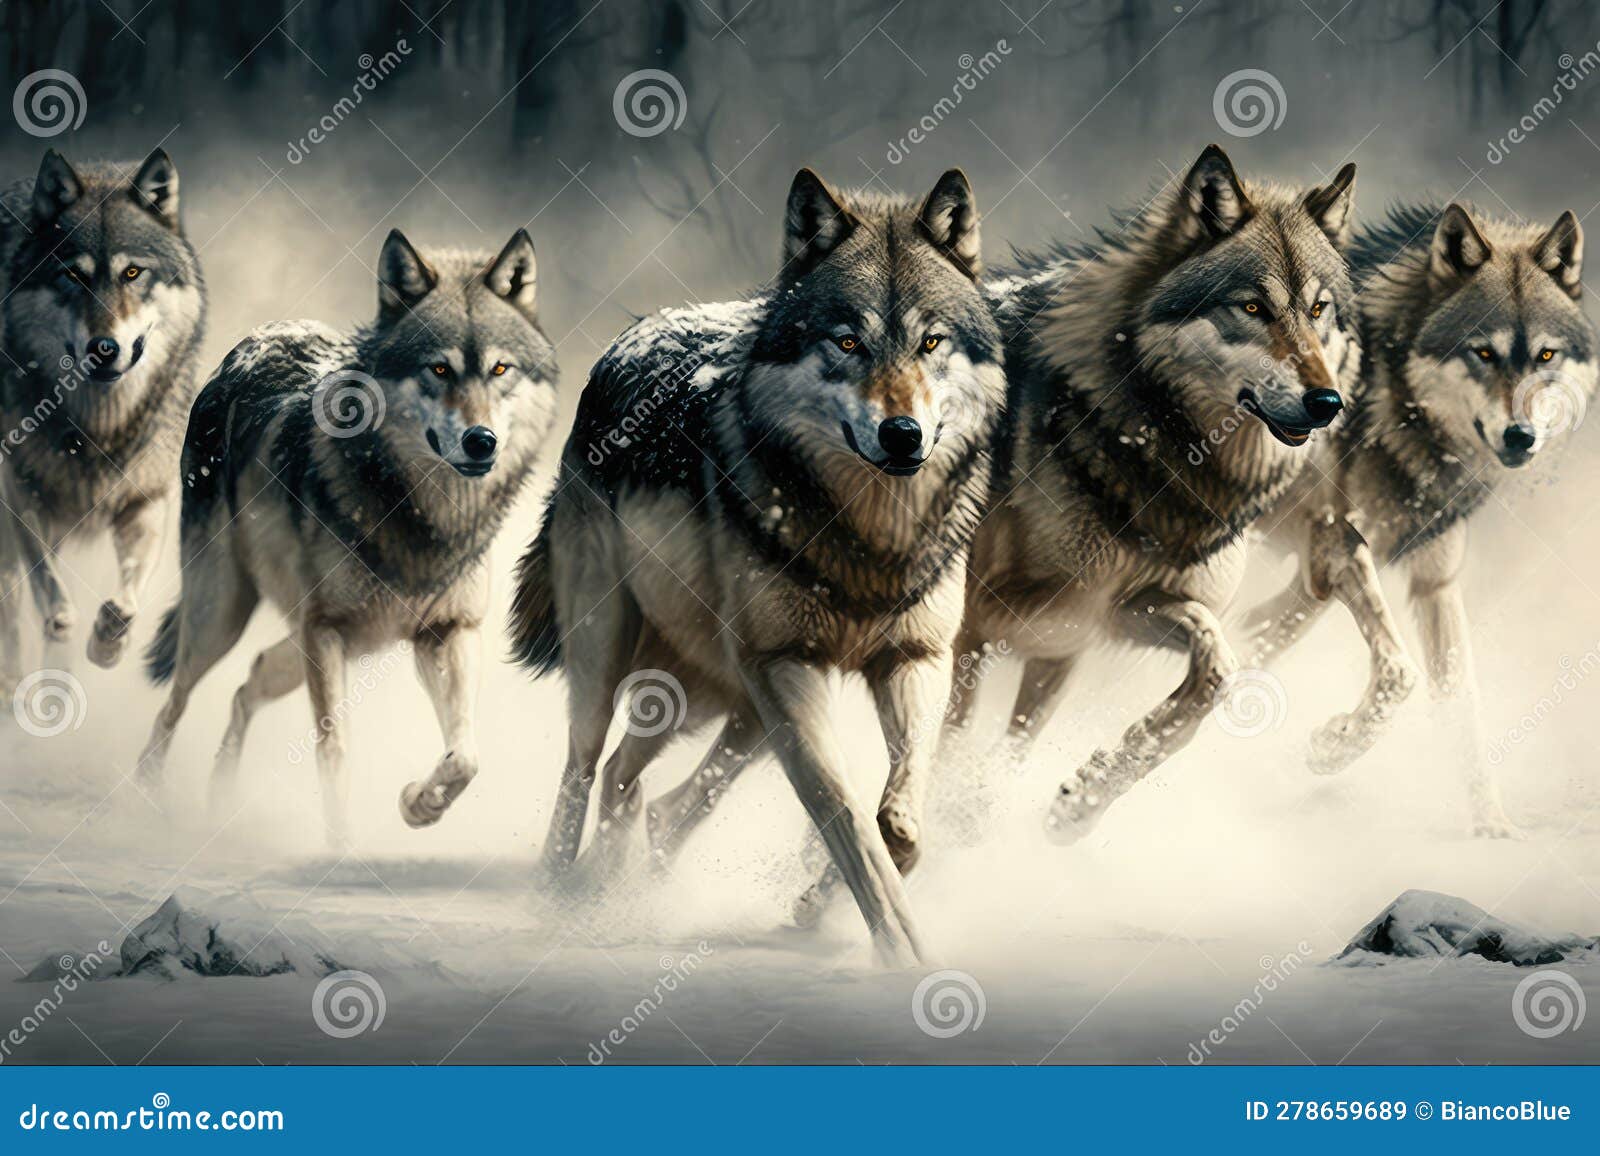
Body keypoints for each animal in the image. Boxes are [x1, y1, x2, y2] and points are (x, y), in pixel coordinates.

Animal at [0, 149, 204, 689]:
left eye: (133, 273)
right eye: (75, 276)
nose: (104, 348)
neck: (98, 428)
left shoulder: (148, 497)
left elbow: (127, 599)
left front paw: (107, 644)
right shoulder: (19, 488)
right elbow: (49, 588)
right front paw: (64, 629)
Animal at [139, 228, 556, 846]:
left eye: (500, 370)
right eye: (438, 370)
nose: (481, 441)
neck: (420, 518)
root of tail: (253, 342)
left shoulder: (448, 632)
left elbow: (466, 756)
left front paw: (419, 805)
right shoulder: (326, 631)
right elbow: (335, 751)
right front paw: (341, 847)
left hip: (306, 645)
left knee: (248, 682)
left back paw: (219, 800)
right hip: (223, 617)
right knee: (174, 702)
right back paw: (144, 802)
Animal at [507, 167, 1005, 966]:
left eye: (931, 341)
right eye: (847, 341)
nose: (902, 434)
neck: (868, 538)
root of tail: (622, 341)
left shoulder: (914, 657)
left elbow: (900, 825)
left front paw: (815, 907)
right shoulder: (788, 666)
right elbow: (846, 819)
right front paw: (901, 952)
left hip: (720, 702)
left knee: (639, 785)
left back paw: (616, 885)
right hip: (625, 663)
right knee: (583, 767)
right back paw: (559, 894)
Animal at [1243, 201, 1595, 836]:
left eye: (1546, 356)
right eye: (1484, 353)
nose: (1520, 436)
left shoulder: (1432, 581)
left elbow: (1462, 705)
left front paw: (1492, 829)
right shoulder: (1328, 556)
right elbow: (1394, 676)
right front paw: (1330, 748)